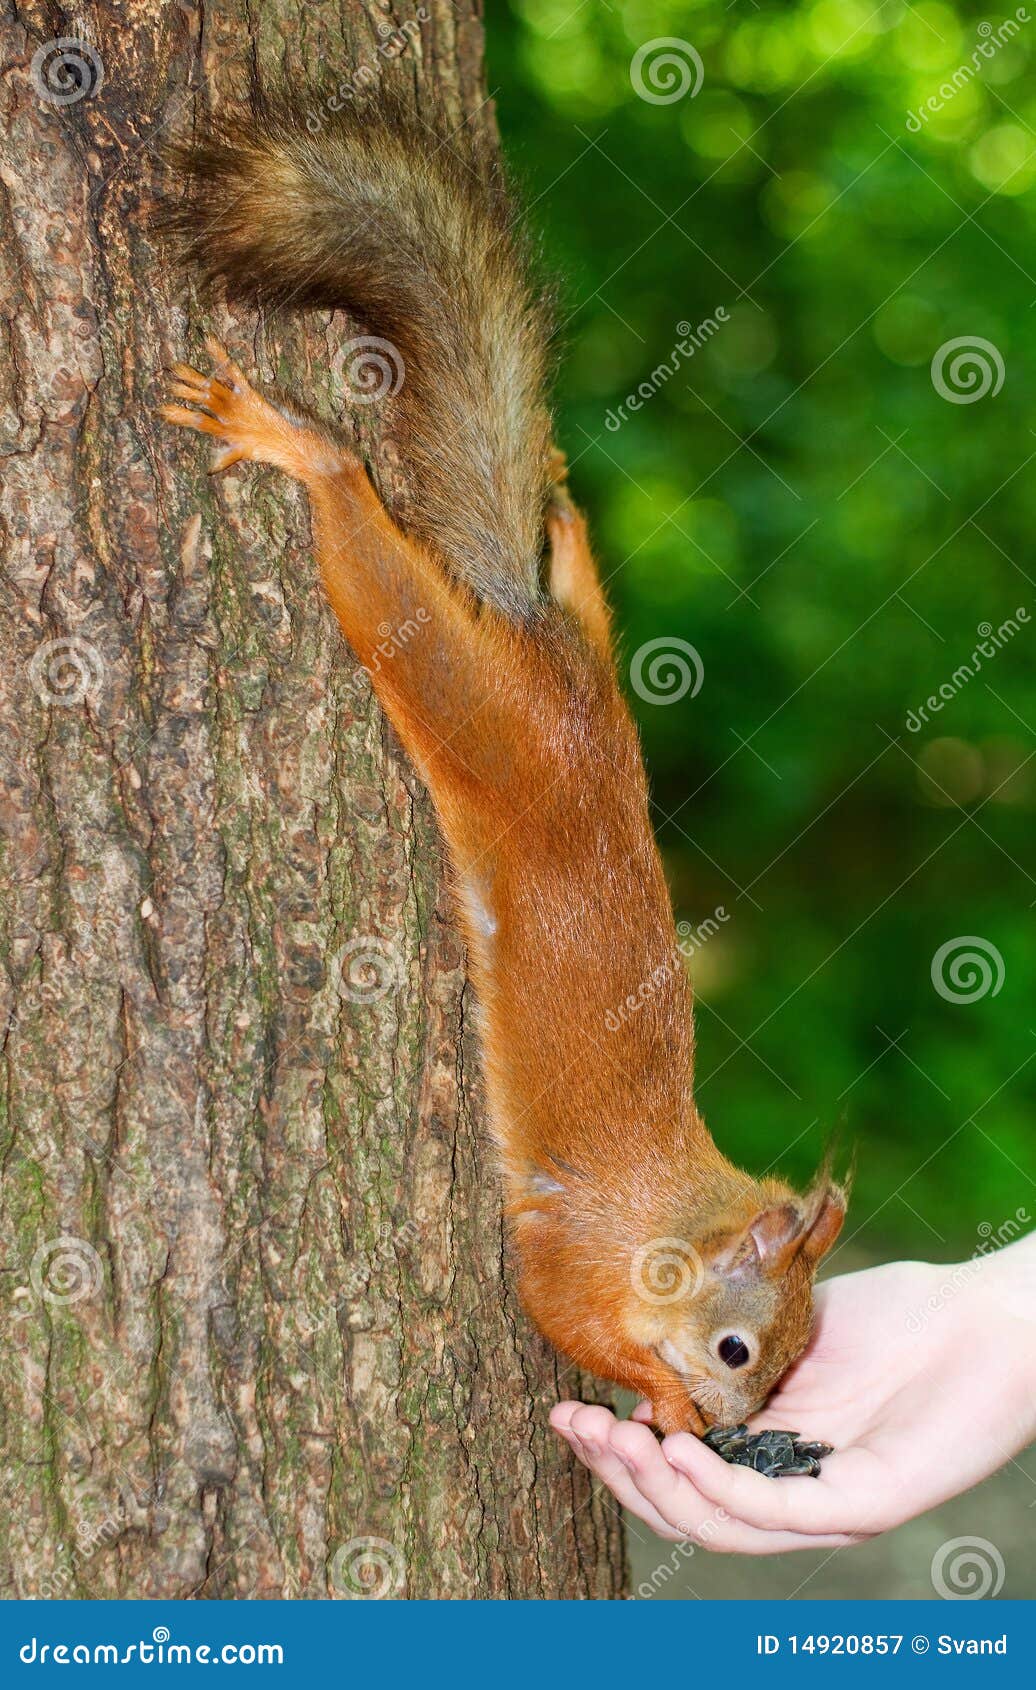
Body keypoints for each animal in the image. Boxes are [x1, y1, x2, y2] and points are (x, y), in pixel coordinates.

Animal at [158, 93, 847, 1437]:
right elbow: (563, 1315)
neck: (667, 1225)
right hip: (468, 700)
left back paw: (565, 525)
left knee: (582, 608)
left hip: (577, 684)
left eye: (795, 1365)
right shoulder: (570, 1254)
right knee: (373, 550)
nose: (737, 1430)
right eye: (739, 1348)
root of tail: (536, 654)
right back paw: (303, 449)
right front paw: (660, 1402)